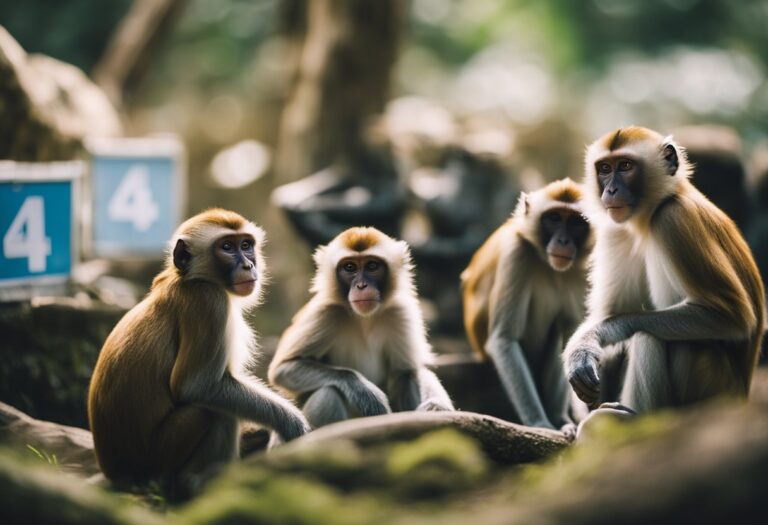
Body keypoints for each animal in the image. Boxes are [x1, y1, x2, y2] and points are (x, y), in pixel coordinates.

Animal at [88, 208, 310, 498]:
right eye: (227, 247)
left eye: (246, 245)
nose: (248, 266)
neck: (188, 279)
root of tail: (116, 474)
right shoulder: (209, 302)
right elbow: (194, 387)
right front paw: (290, 424)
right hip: (158, 458)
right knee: (213, 410)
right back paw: (196, 484)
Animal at [268, 227, 454, 429]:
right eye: (350, 267)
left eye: (372, 266)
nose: (361, 285)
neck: (364, 317)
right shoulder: (326, 313)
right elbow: (284, 369)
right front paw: (363, 390)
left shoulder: (399, 312)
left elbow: (409, 370)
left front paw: (437, 405)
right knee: (328, 394)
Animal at [461, 178, 592, 436]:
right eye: (554, 218)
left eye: (575, 222)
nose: (563, 241)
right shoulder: (516, 254)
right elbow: (504, 339)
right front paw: (539, 423)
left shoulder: (581, 271)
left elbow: (572, 341)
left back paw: (561, 418)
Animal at [564, 126, 765, 415]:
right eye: (604, 168)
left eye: (625, 166)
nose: (610, 190)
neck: (650, 214)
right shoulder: (617, 230)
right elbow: (610, 313)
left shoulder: (674, 219)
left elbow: (732, 315)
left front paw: (595, 338)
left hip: (714, 388)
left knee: (652, 335)